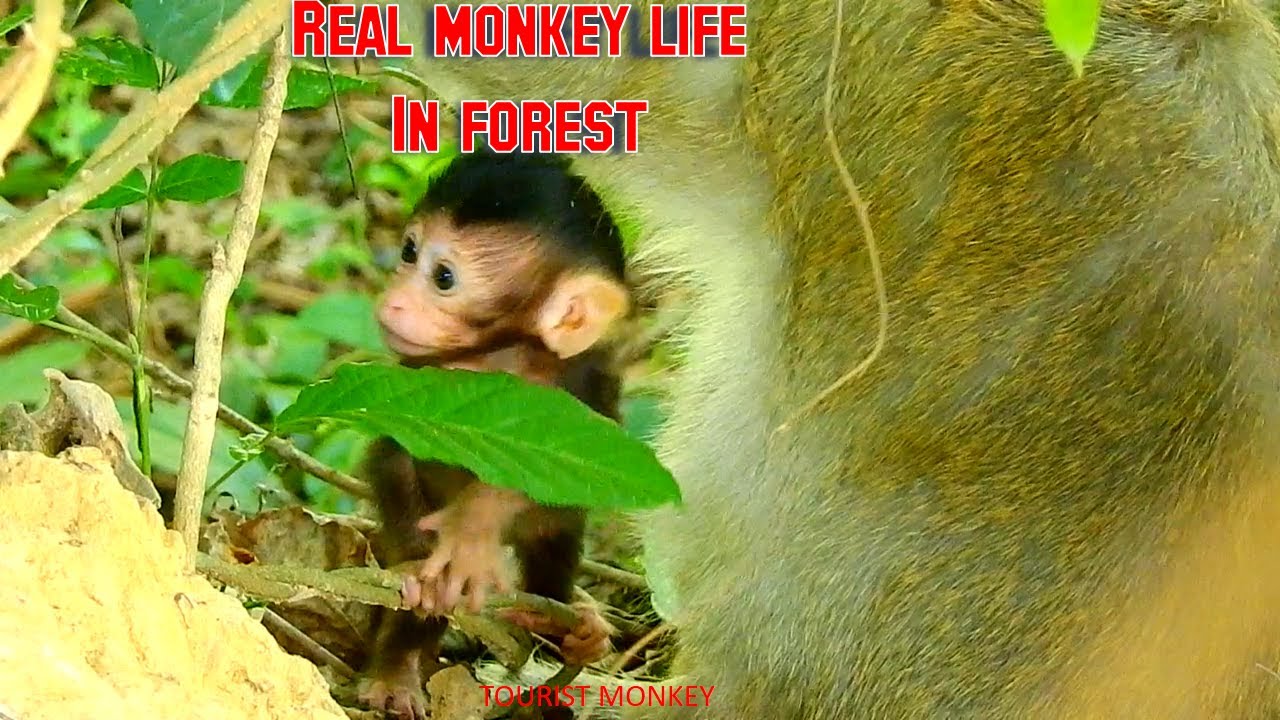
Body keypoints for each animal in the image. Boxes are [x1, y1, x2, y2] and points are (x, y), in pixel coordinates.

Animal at [359, 148, 625, 719]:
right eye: (409, 251)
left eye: (444, 278)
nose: (393, 302)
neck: (499, 359)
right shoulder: (419, 379)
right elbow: (395, 457)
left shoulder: (580, 387)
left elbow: (568, 474)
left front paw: (473, 525)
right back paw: (398, 667)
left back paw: (567, 625)